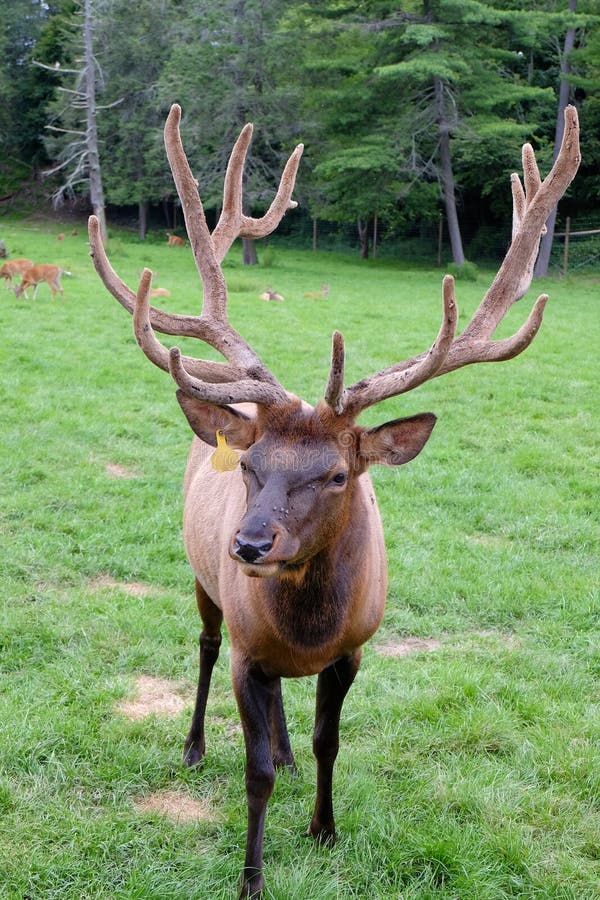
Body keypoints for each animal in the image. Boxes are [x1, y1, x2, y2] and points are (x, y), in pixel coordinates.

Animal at [88, 103, 580, 898]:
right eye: (251, 464)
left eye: (339, 476)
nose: (250, 545)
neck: (308, 627)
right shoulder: (248, 653)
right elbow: (252, 771)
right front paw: (252, 877)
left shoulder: (354, 647)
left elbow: (329, 741)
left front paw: (323, 827)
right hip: (202, 583)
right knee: (203, 646)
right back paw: (193, 745)